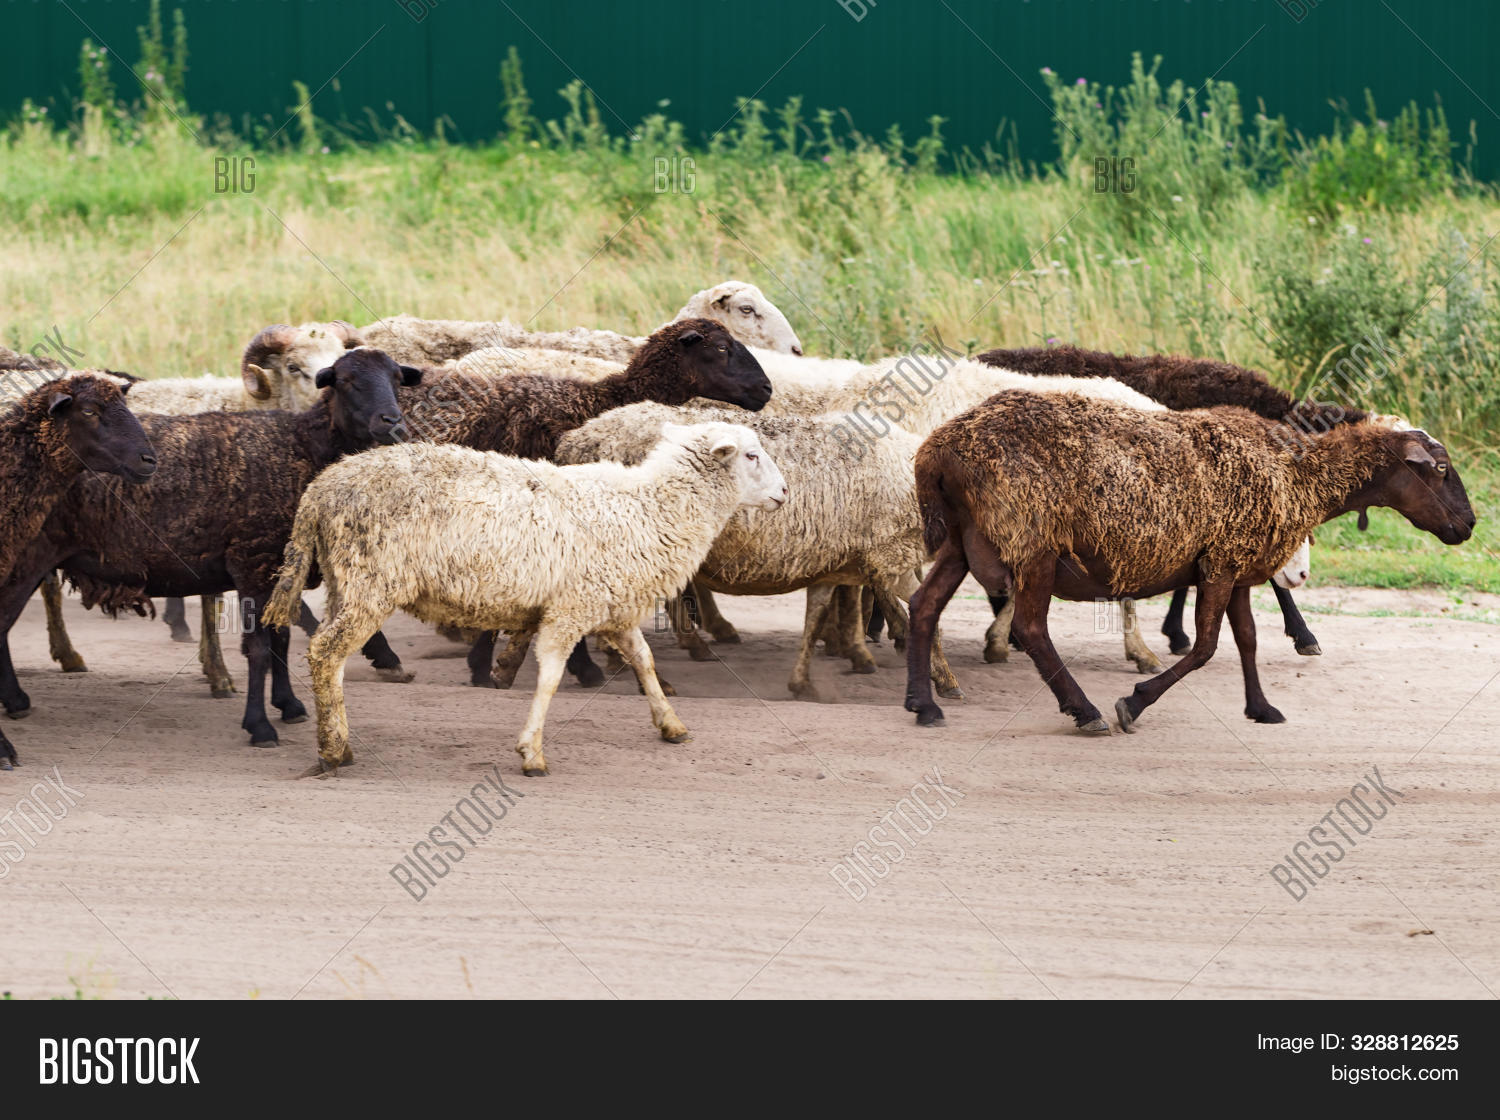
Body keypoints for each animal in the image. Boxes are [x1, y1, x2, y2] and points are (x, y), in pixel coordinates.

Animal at [264, 422, 789, 776]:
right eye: (750, 456)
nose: (785, 492)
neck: (650, 507)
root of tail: (322, 488)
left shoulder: (614, 605)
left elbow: (643, 660)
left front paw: (671, 724)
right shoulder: (571, 608)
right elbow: (551, 677)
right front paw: (532, 752)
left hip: (344, 583)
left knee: (327, 656)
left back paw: (339, 740)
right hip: (371, 583)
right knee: (324, 653)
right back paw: (334, 749)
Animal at [546, 403, 964, 701]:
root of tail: (578, 438)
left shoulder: (829, 562)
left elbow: (814, 620)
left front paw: (802, 684)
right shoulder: (890, 559)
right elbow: (925, 617)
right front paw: (945, 681)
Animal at [903, 392, 1475, 733]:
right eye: (1441, 469)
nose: (1469, 526)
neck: (1298, 476)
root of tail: (937, 452)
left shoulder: (1239, 565)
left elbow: (1247, 639)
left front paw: (1262, 708)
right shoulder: (1219, 565)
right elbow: (1205, 647)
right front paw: (1134, 702)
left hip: (962, 542)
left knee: (923, 605)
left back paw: (923, 704)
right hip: (1033, 545)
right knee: (1030, 628)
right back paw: (1086, 711)